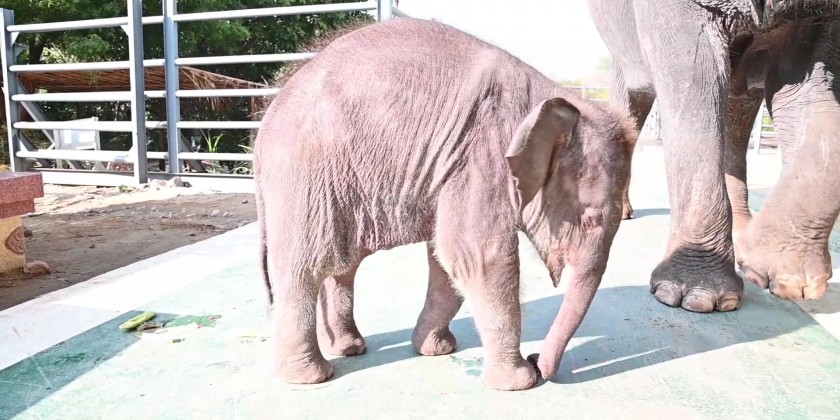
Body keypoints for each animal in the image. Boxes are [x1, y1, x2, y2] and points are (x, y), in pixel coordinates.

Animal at [253, 17, 638, 390]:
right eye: (590, 218)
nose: (537, 362)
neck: (548, 97)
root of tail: (264, 126)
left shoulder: (458, 163)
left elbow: (445, 260)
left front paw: (436, 350)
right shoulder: (483, 157)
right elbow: (478, 257)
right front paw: (519, 383)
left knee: (343, 264)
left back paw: (348, 348)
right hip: (305, 178)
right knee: (305, 267)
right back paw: (311, 376)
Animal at [586, 0, 838, 313]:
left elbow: (814, 96)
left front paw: (782, 278)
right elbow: (695, 79)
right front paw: (698, 298)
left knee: (738, 109)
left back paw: (743, 235)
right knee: (631, 101)